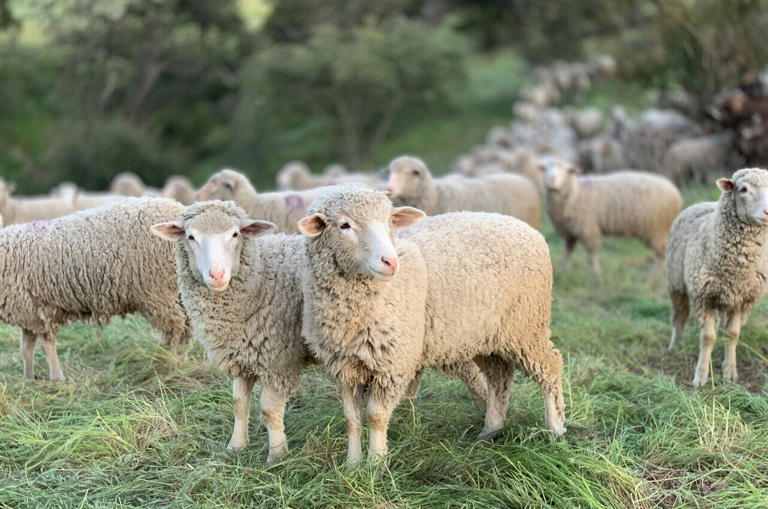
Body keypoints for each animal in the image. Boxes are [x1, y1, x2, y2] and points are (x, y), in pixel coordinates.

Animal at [0, 197, 192, 382]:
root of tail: (178, 208)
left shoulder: (41, 311)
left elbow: (46, 346)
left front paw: (56, 378)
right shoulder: (28, 312)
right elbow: (26, 349)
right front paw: (28, 380)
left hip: (159, 292)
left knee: (174, 328)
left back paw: (165, 361)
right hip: (176, 291)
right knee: (186, 326)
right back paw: (177, 359)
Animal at [298, 185, 565, 467]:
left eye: (389, 221)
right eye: (344, 225)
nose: (390, 261)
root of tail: (528, 229)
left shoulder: (393, 363)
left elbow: (375, 417)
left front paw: (375, 465)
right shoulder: (344, 367)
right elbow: (352, 419)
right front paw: (352, 465)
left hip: (527, 326)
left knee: (550, 367)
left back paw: (555, 429)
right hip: (487, 334)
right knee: (499, 377)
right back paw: (490, 430)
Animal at [541, 161, 682, 276]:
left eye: (566, 170)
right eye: (545, 169)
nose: (552, 179)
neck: (575, 192)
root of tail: (676, 193)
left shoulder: (588, 229)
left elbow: (592, 256)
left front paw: (596, 275)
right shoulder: (570, 233)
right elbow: (567, 253)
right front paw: (565, 272)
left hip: (655, 229)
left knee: (663, 254)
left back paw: (652, 280)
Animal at [666, 168, 768, 386]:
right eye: (743, 189)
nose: (767, 212)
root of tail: (702, 203)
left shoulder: (742, 299)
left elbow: (732, 334)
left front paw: (730, 371)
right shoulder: (702, 296)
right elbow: (707, 337)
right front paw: (701, 376)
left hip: (726, 298)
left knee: (722, 323)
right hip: (676, 283)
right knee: (679, 315)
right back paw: (675, 345)